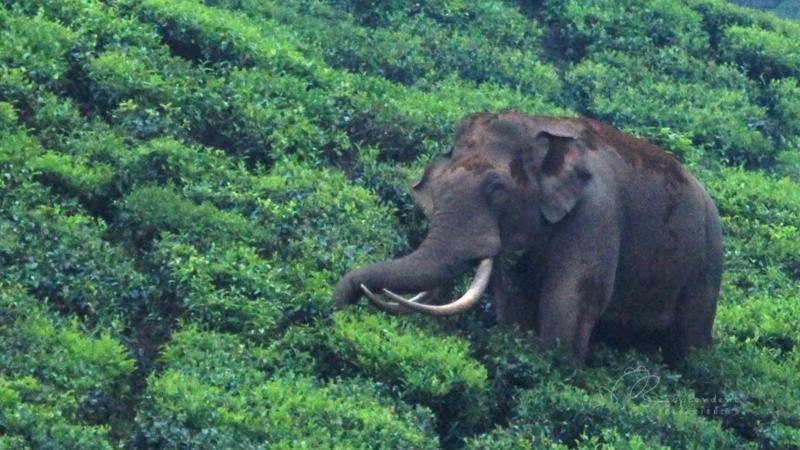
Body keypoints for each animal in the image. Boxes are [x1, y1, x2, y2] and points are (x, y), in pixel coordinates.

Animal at [334, 111, 723, 364]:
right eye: (436, 189)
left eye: (497, 189)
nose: (339, 307)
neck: (540, 128)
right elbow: (514, 301)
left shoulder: (596, 213)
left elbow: (573, 299)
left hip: (707, 262)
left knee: (691, 340)